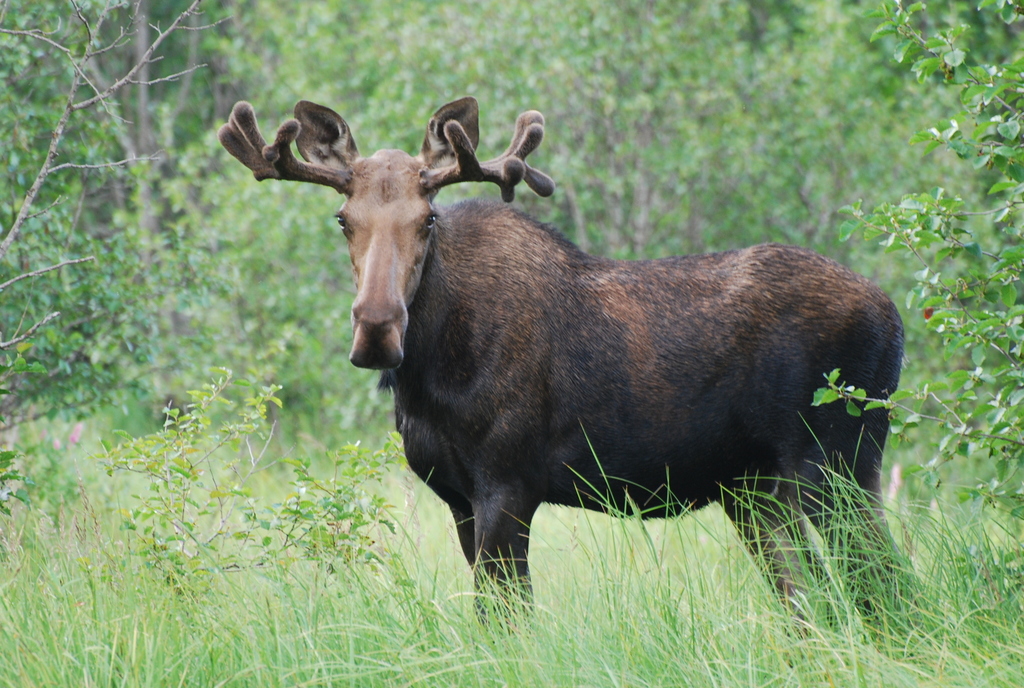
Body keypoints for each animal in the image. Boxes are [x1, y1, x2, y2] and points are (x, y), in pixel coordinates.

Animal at [218, 96, 906, 620]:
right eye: (343, 218)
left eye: (428, 218)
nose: (377, 330)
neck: (430, 375)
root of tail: (894, 316)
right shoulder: (458, 498)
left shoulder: (509, 484)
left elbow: (504, 621)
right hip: (756, 489)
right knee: (811, 598)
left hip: (838, 464)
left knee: (886, 582)